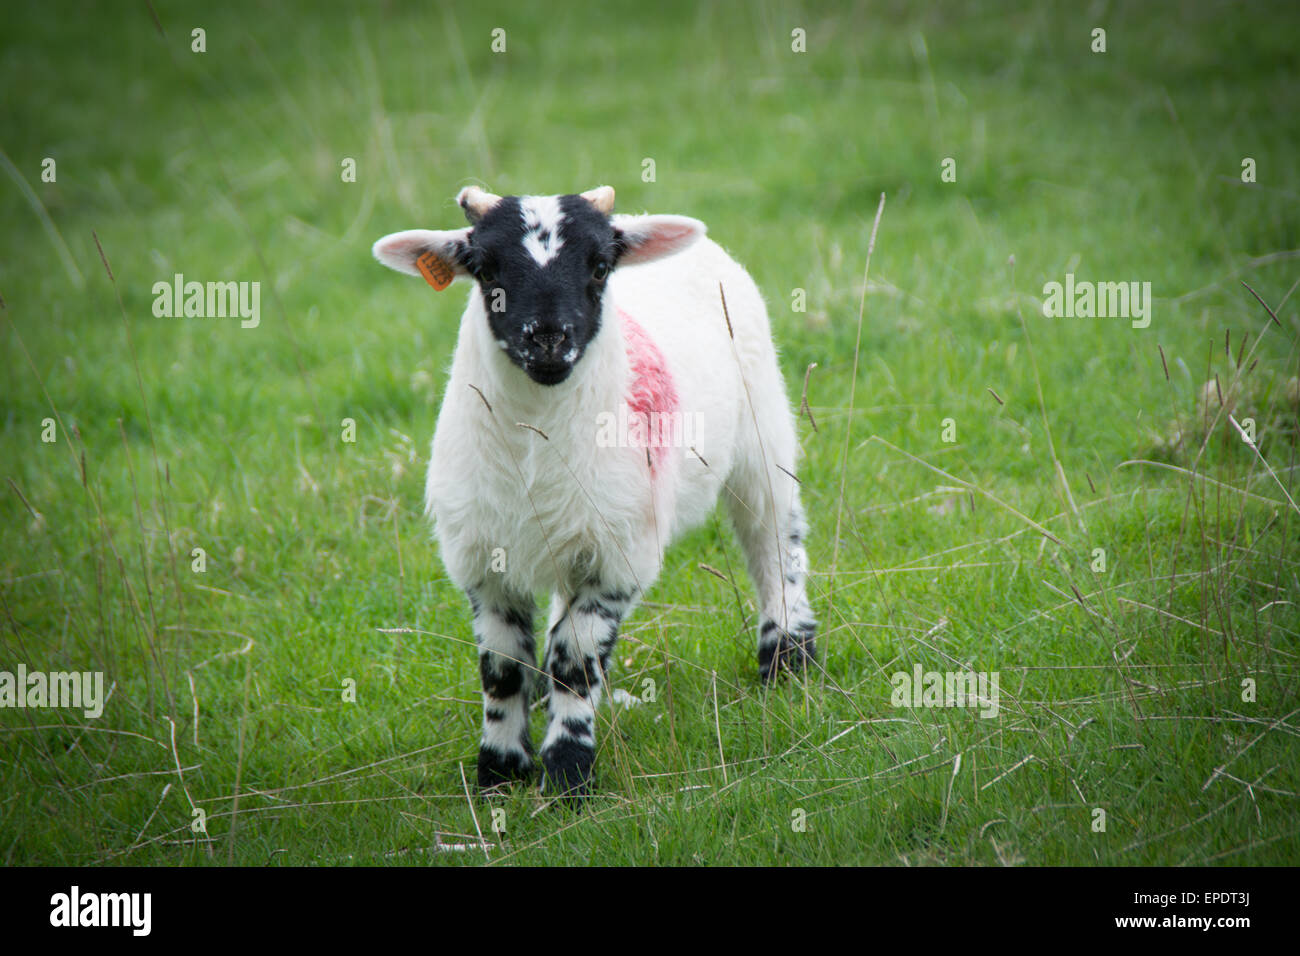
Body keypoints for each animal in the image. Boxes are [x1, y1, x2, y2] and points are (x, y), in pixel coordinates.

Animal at [372, 185, 816, 797]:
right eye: (485, 269)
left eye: (601, 266)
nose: (548, 339)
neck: (535, 442)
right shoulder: (483, 560)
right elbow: (502, 668)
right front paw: (499, 771)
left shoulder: (621, 554)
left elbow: (575, 659)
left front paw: (567, 774)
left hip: (762, 425)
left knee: (773, 539)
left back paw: (787, 656)